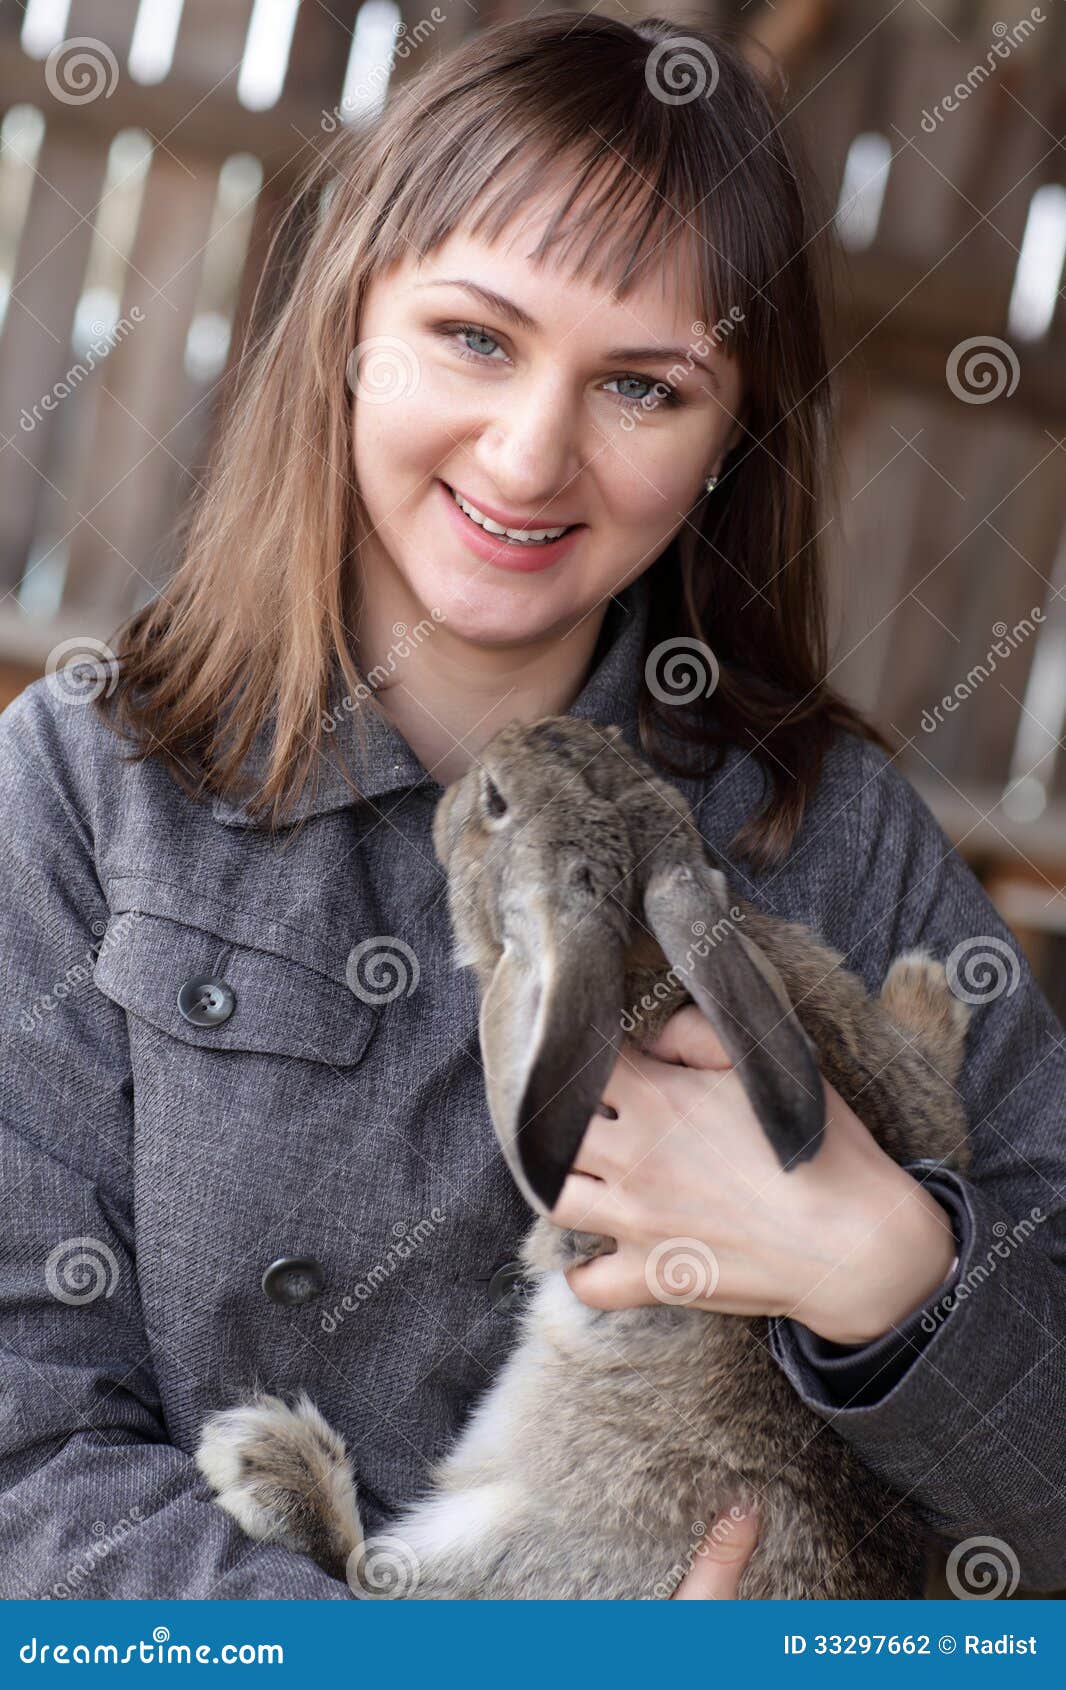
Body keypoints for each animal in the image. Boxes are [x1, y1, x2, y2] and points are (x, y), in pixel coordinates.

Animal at [196, 715, 971, 1598]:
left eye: (497, 802)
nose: (479, 763)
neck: (645, 958)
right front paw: (931, 986)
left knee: (373, 1577)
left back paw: (263, 1461)